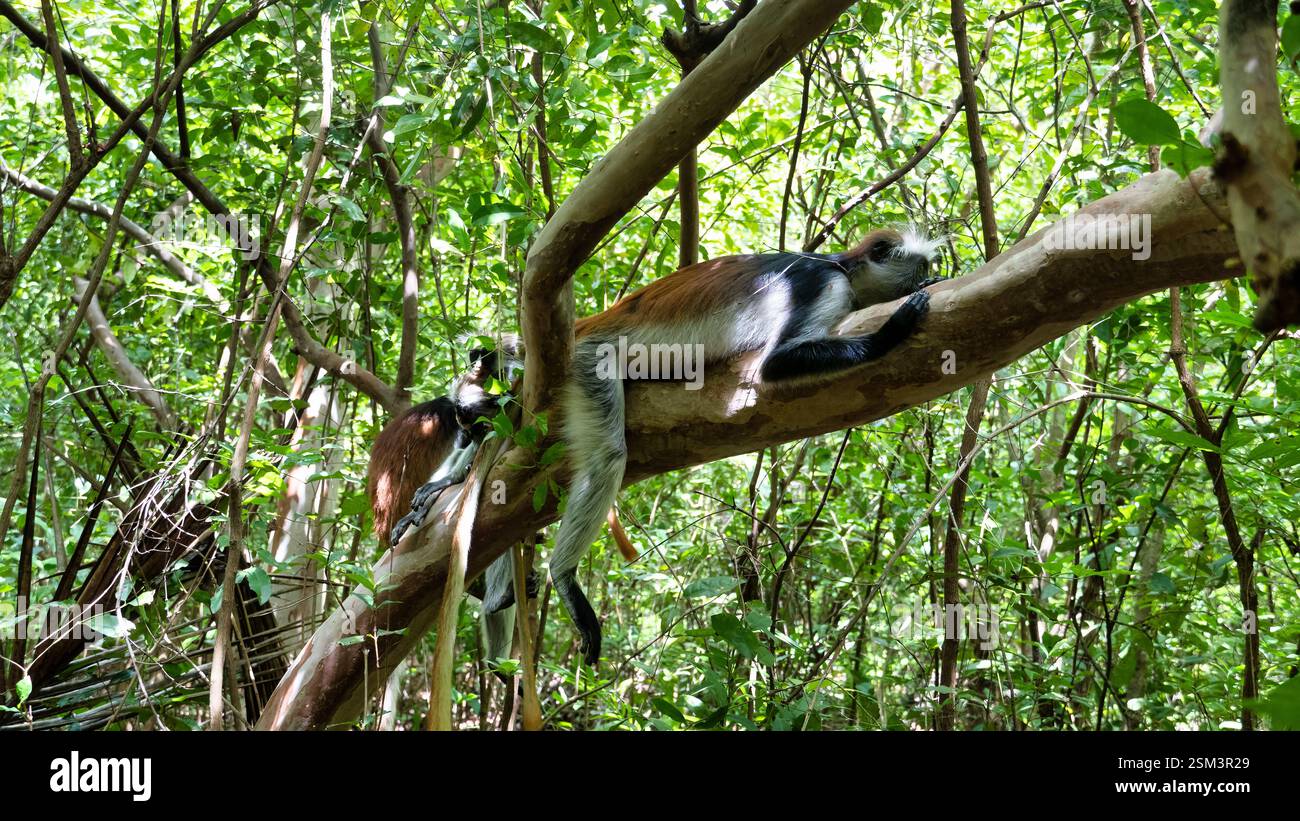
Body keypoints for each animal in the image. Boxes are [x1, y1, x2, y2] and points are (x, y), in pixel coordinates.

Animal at [551, 227, 941, 665]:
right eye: (920, 268)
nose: (933, 275)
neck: (841, 265)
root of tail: (588, 326)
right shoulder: (825, 285)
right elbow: (776, 363)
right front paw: (894, 328)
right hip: (591, 361)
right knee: (607, 456)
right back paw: (562, 576)